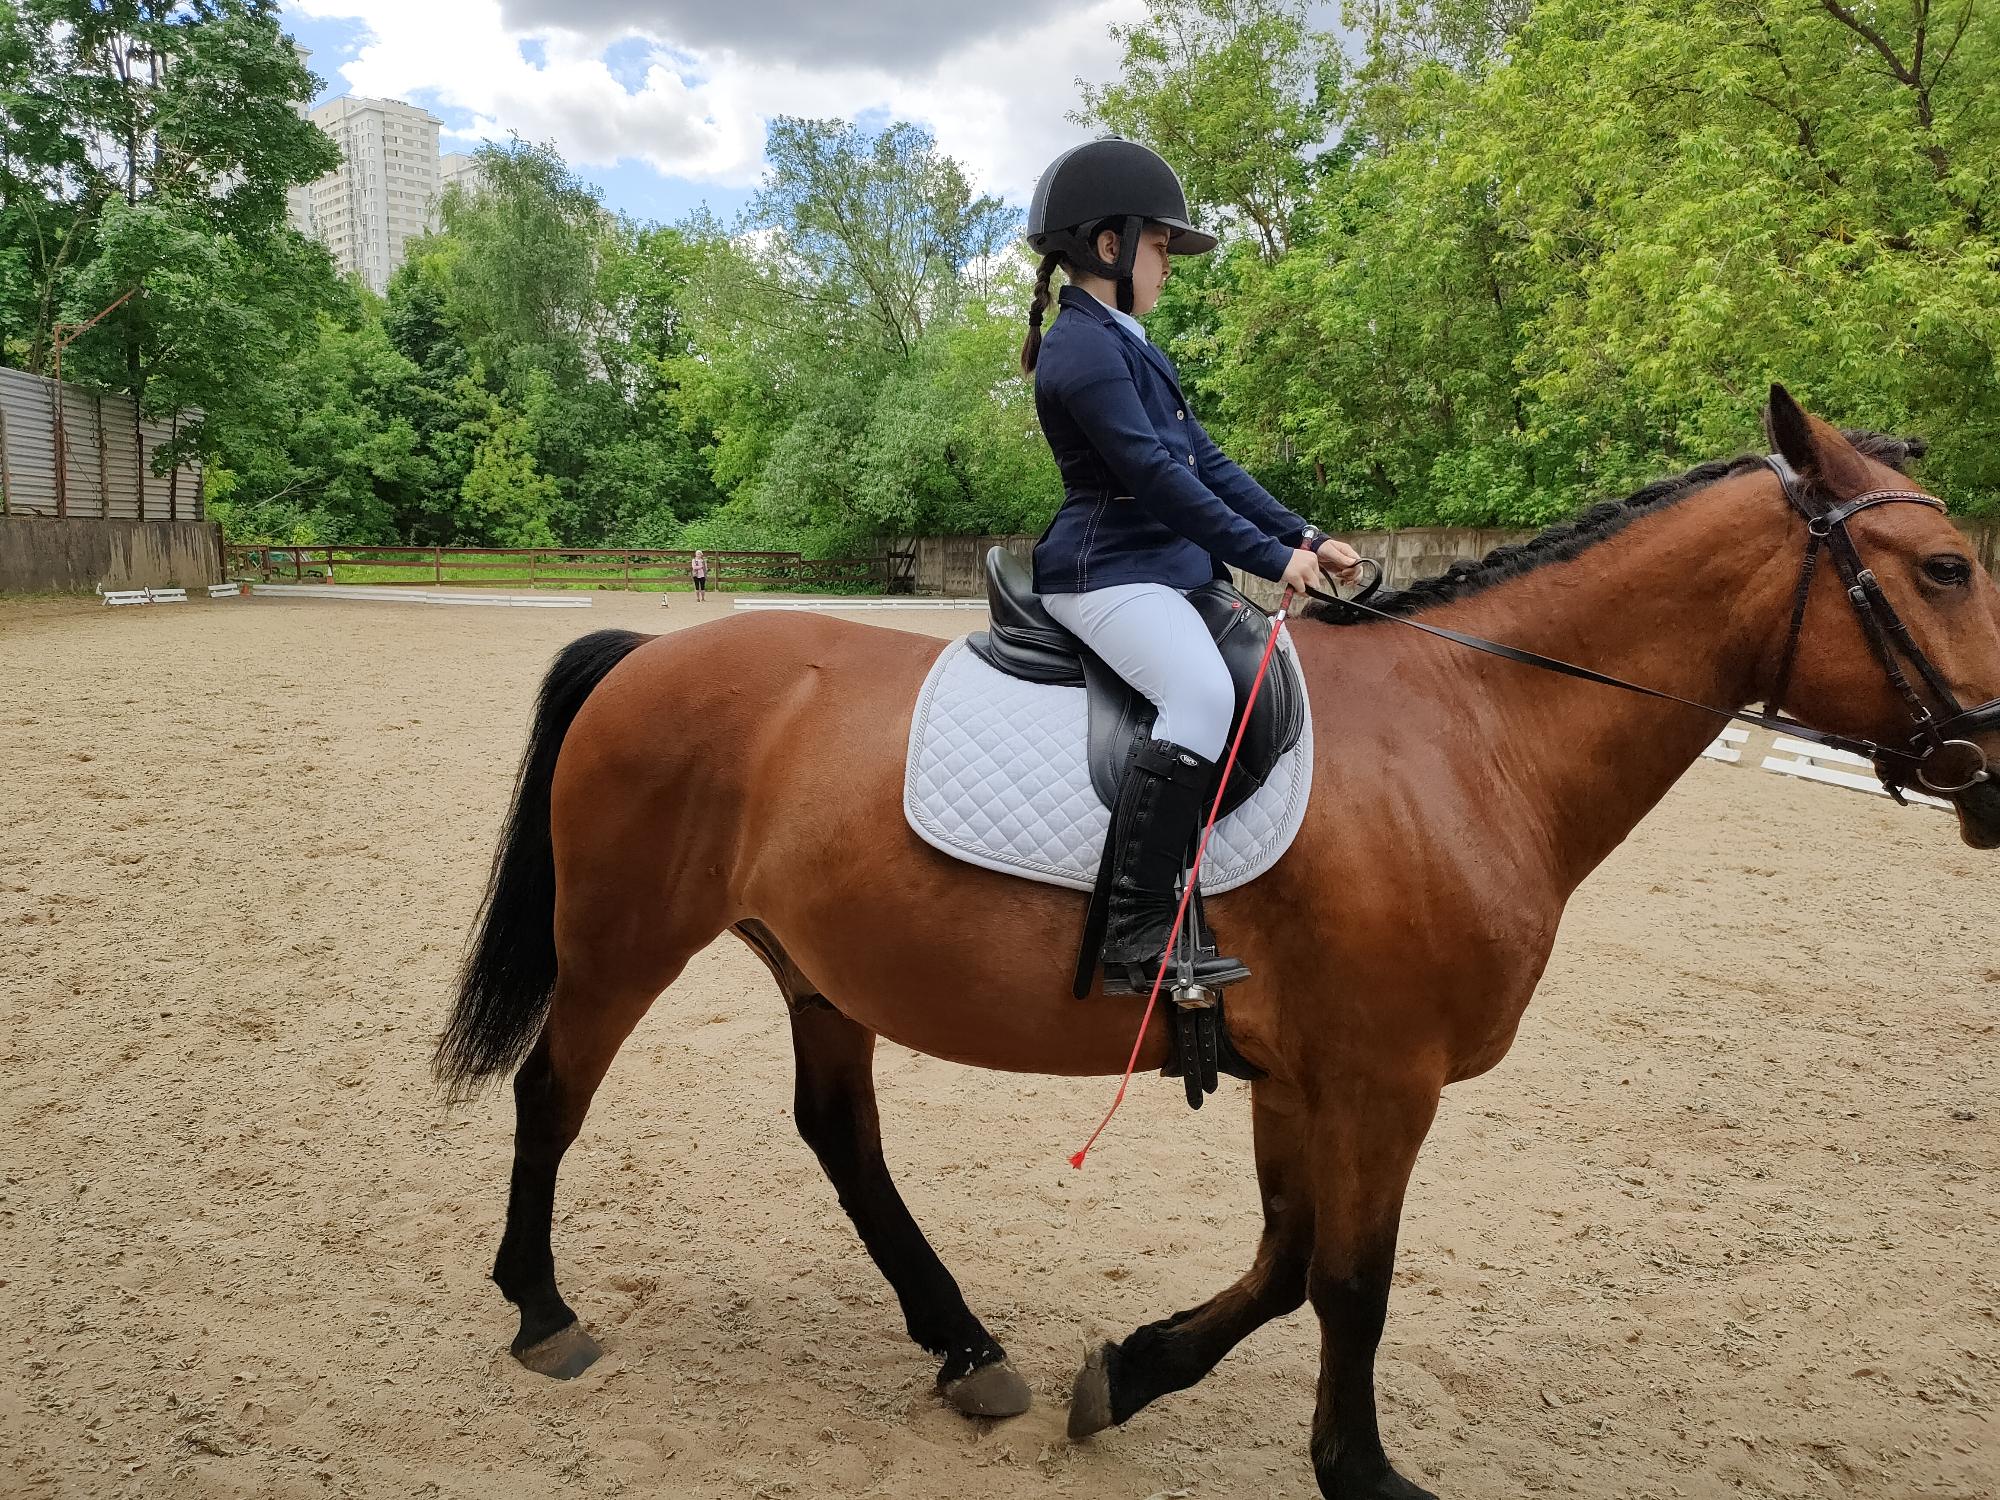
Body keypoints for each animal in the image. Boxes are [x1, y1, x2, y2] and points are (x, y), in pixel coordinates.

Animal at [434, 388, 2000, 1499]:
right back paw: (541, 1313)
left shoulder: (1308, 1077)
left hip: (819, 967)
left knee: (841, 1138)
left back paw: (966, 1347)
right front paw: (1360, 1475)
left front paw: (1128, 1373)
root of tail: (649, 652)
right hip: (626, 941)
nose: (1998, 766)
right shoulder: (1380, 1079)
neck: (1474, 734)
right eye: (1943, 567)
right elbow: (1351, 1282)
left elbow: (1292, 1261)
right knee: (552, 1096)